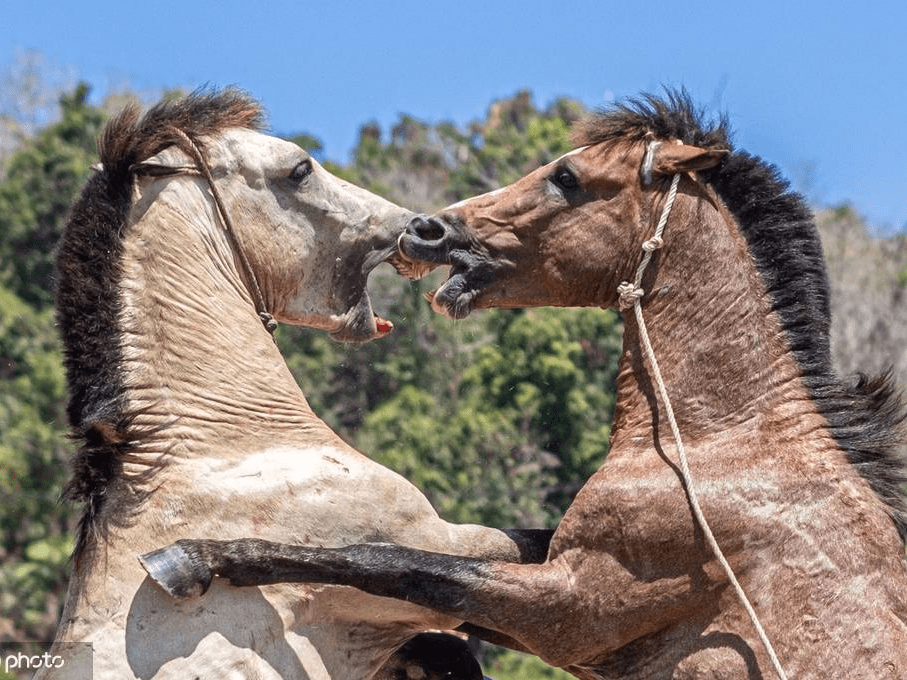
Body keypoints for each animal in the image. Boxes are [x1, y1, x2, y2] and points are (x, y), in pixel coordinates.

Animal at [141, 91, 907, 679]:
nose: (428, 229)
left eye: (567, 176)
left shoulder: (568, 608)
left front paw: (191, 559)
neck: (721, 448)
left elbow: (388, 561)